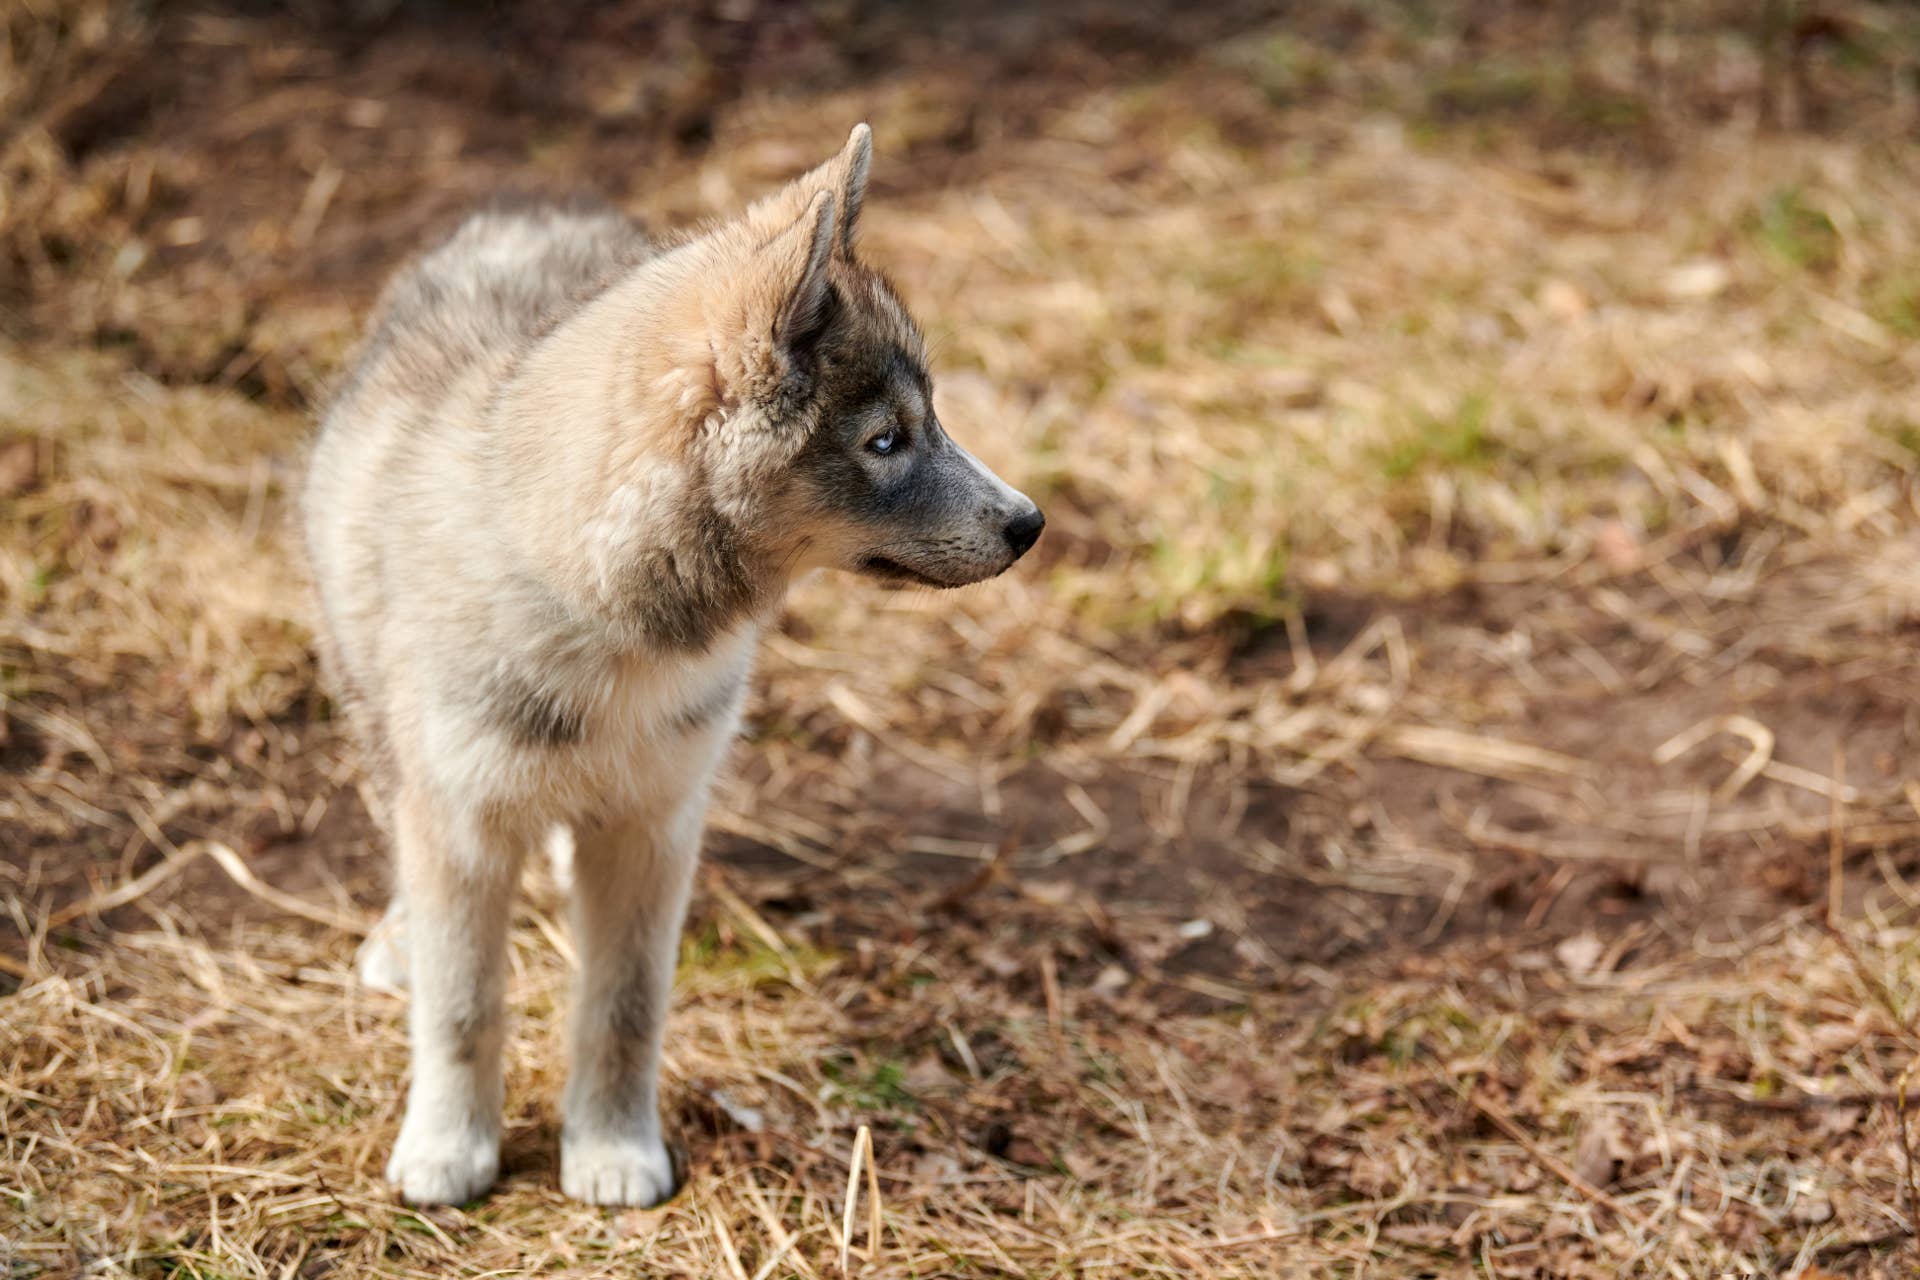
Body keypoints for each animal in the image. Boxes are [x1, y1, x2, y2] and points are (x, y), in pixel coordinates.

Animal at [301, 124, 1043, 1206]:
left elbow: (626, 1005)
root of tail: (530, 209)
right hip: (375, 715)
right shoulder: (464, 818)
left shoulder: (655, 823)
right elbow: (463, 1004)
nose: (1031, 524)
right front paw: (449, 1147)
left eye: (931, 419)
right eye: (885, 440)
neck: (604, 621)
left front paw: (613, 1151)